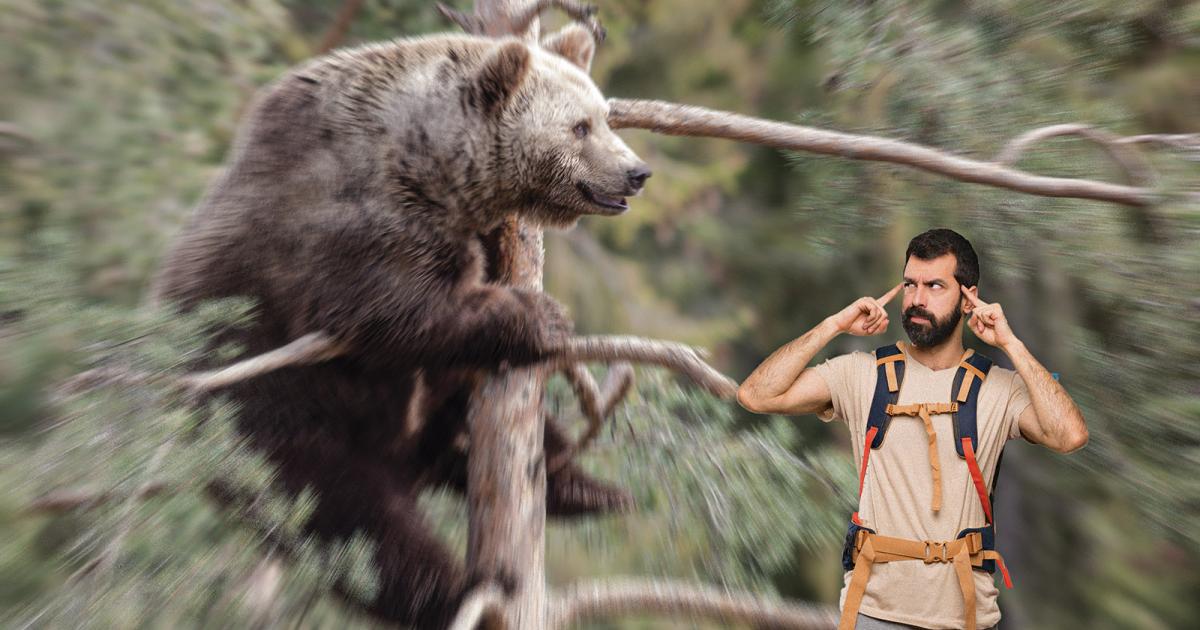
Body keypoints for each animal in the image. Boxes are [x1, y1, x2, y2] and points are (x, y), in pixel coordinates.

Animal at [151, 25, 650, 628]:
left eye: (605, 116)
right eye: (580, 127)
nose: (636, 173)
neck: (430, 159)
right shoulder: (348, 215)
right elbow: (389, 309)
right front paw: (541, 316)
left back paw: (586, 488)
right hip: (267, 414)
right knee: (354, 523)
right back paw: (465, 589)